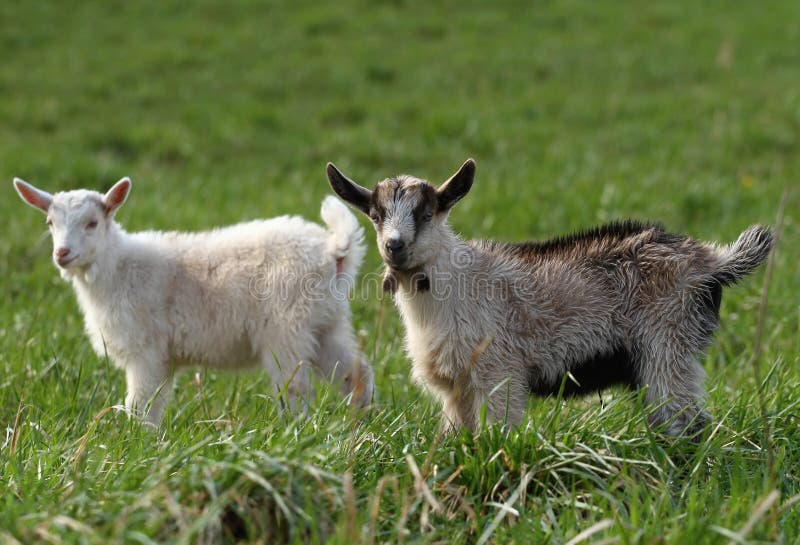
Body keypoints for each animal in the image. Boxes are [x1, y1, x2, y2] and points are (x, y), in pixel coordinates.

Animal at [326, 158, 773, 437]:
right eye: (376, 215)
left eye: (426, 213)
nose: (395, 246)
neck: (459, 284)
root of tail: (710, 260)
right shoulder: (457, 389)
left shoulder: (499, 373)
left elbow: (497, 435)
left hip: (667, 344)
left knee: (687, 423)